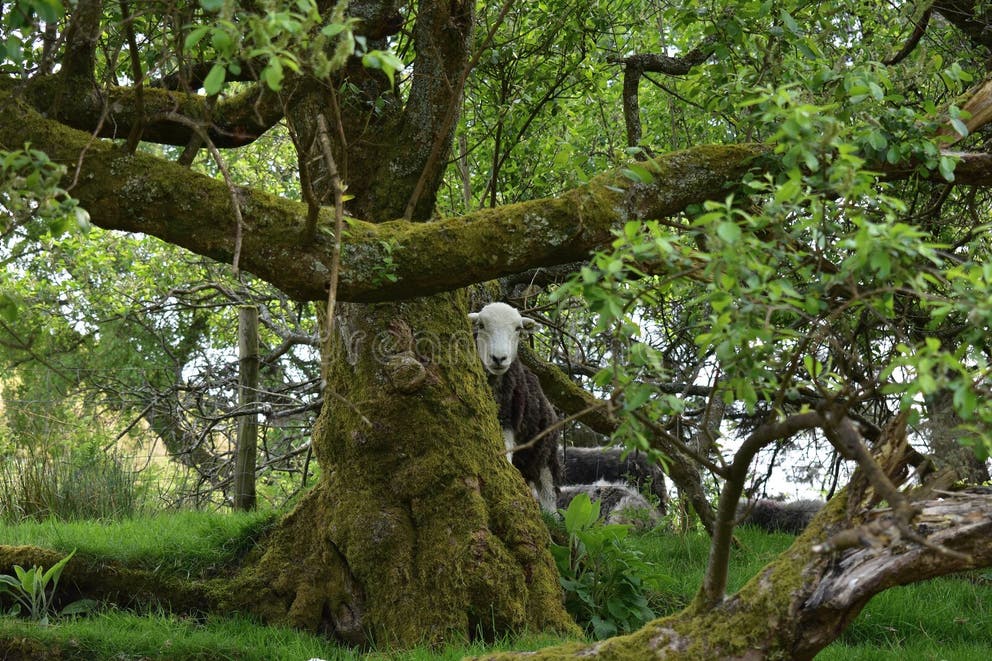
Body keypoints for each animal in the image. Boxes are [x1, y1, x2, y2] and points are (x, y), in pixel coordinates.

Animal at [469, 302, 562, 512]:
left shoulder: (509, 418)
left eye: (518, 329)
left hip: (548, 457)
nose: (499, 358)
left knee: (549, 496)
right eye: (482, 325)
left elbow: (505, 452)